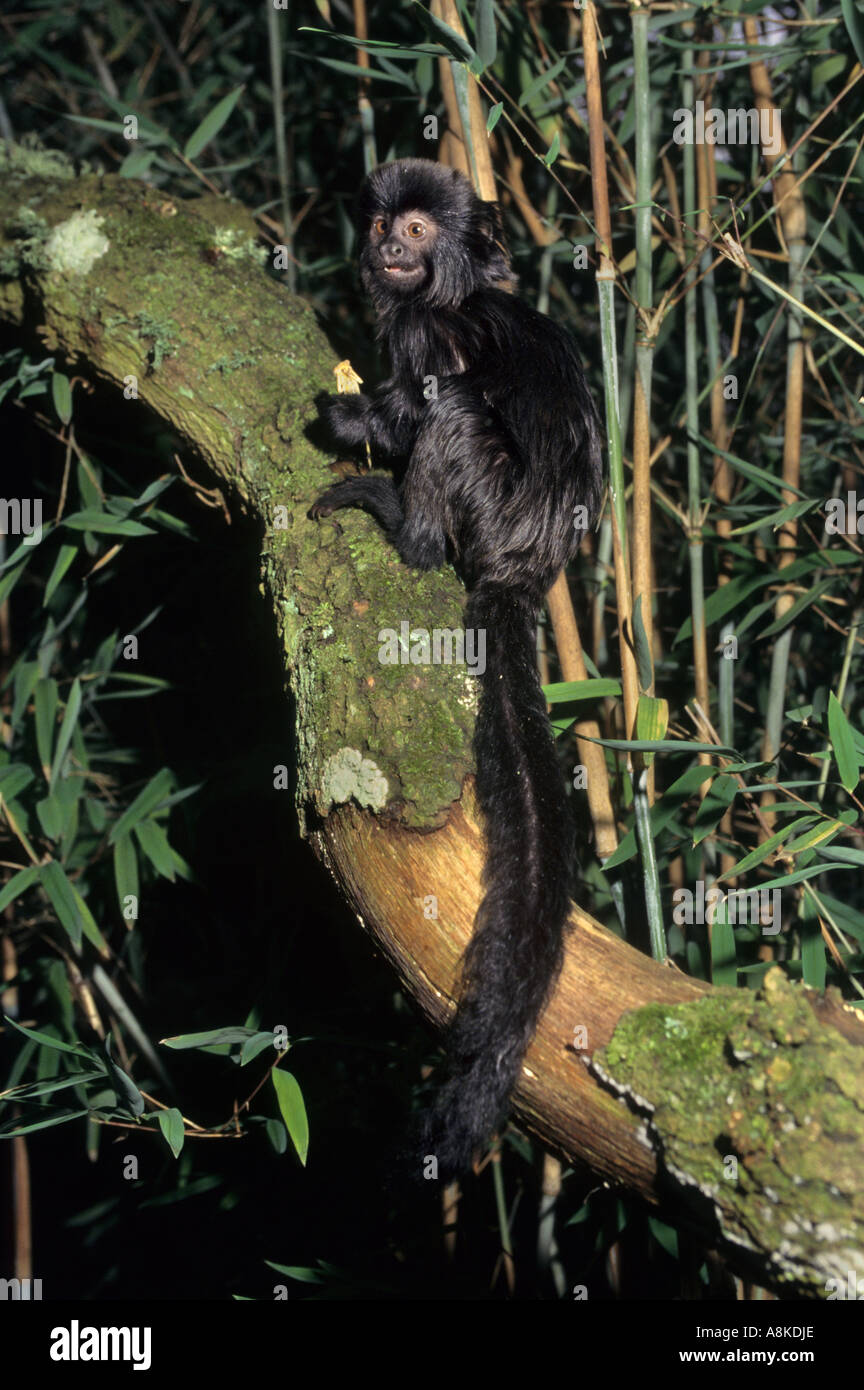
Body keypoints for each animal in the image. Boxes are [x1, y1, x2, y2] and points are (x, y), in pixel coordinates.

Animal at [311, 158, 603, 1177]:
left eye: (417, 230)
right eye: (383, 224)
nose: (392, 249)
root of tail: (525, 565)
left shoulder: (427, 332)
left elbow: (413, 410)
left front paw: (348, 417)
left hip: (484, 492)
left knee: (457, 416)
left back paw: (407, 528)